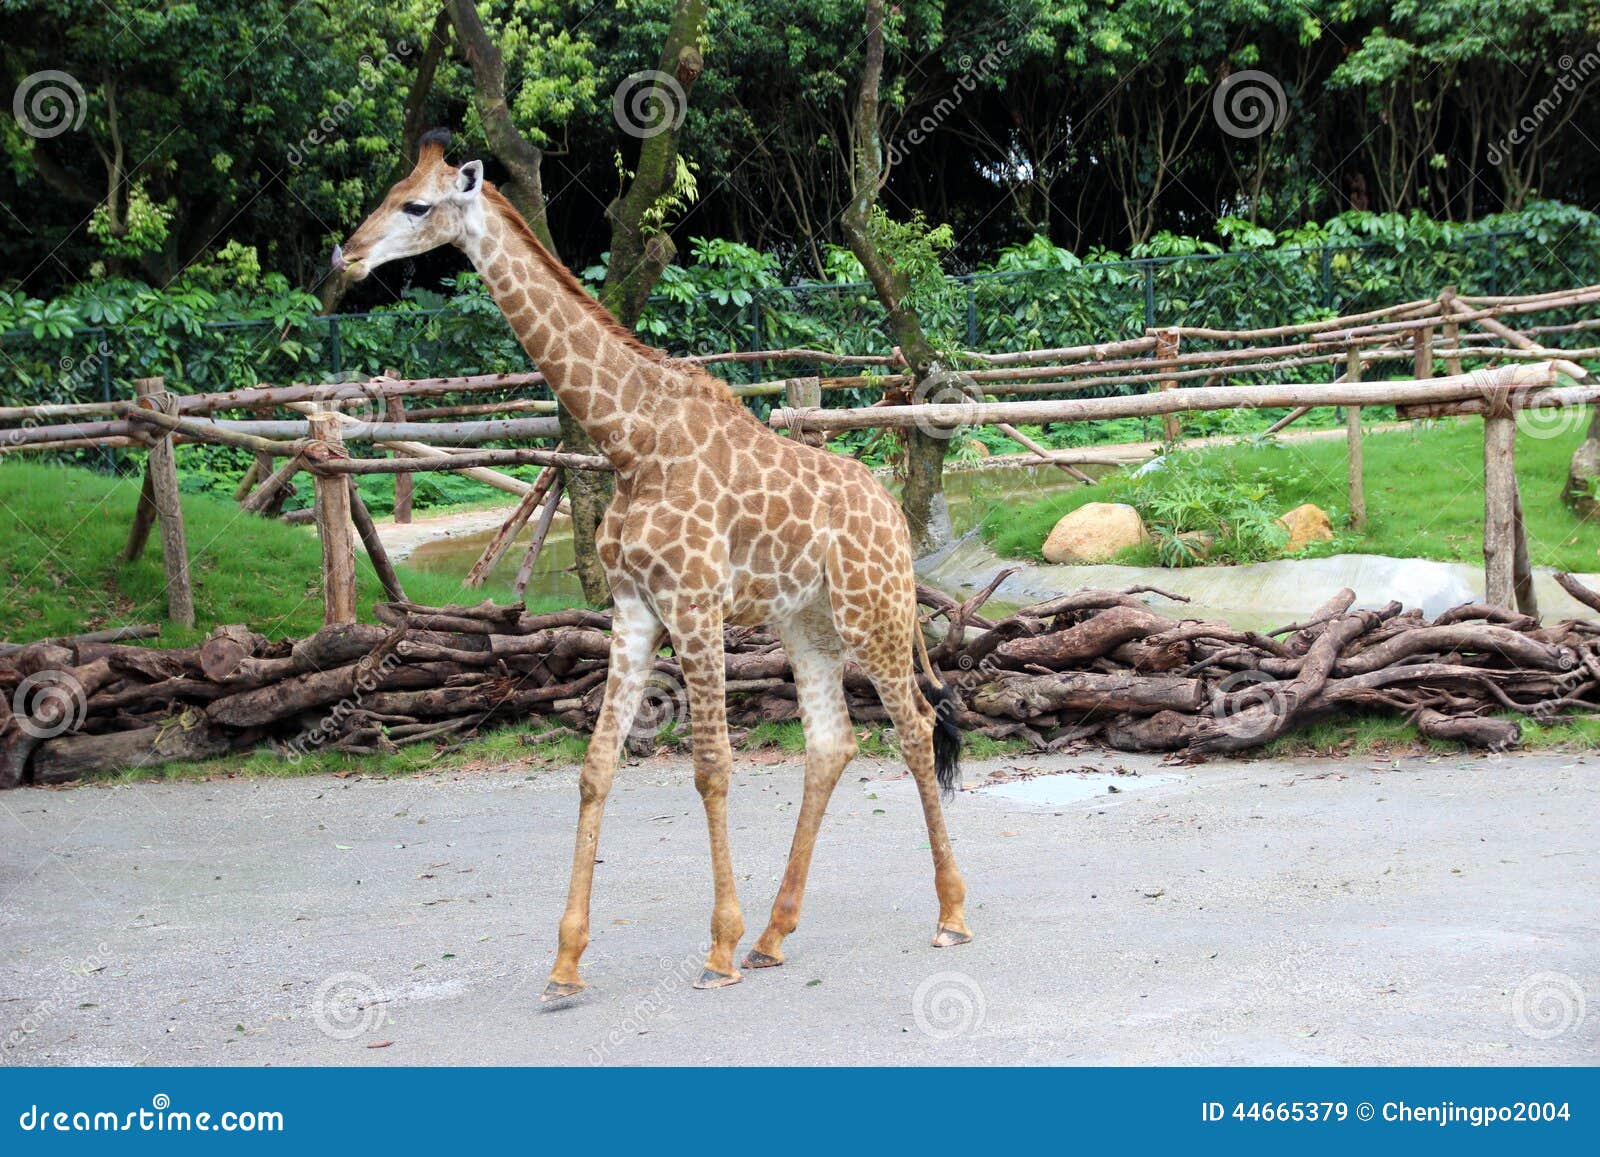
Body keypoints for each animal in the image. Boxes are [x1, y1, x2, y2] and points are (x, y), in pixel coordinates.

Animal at [333, 130, 971, 997]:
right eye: (391, 193)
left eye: (416, 205)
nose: (347, 255)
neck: (626, 436)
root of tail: (893, 519)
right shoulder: (634, 606)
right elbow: (597, 763)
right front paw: (566, 962)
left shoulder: (694, 601)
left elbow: (711, 765)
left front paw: (717, 947)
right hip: (806, 622)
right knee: (832, 742)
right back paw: (775, 933)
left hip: (872, 611)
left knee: (915, 727)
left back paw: (949, 913)